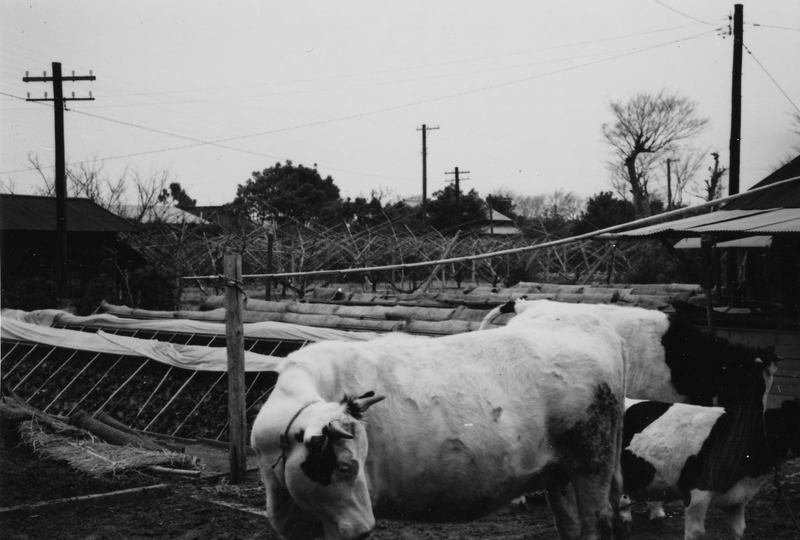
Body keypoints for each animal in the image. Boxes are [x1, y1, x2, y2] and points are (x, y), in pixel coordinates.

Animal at [251, 312, 628, 540]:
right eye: (343, 466)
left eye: (357, 463)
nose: (365, 528)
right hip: (559, 472)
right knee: (571, 523)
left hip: (592, 464)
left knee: (597, 519)